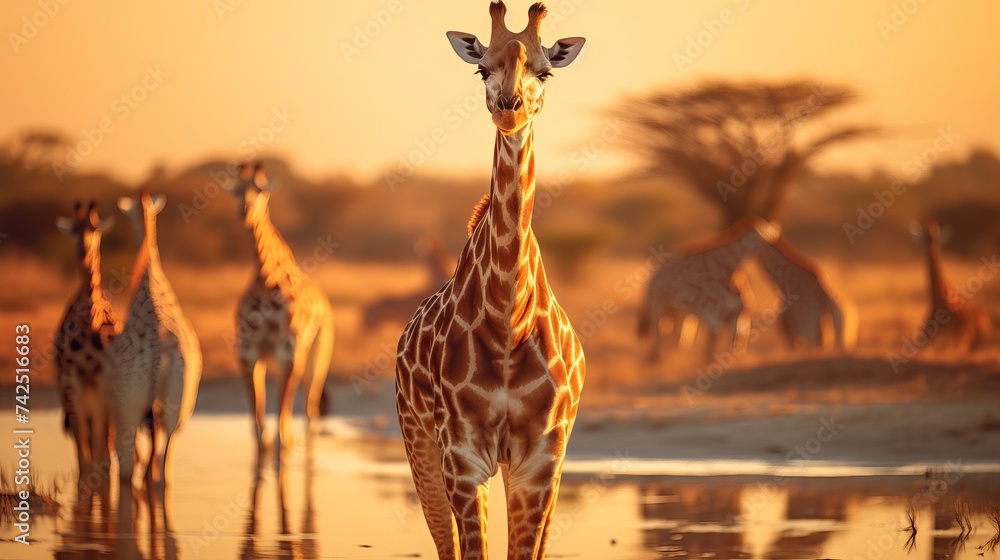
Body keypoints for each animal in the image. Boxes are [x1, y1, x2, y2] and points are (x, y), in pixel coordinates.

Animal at [228, 163, 335, 457]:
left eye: (262, 192)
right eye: (237, 191)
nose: (245, 213)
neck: (265, 282)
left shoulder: (289, 351)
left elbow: (280, 436)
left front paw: (286, 448)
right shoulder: (247, 352)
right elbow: (259, 430)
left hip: (318, 351)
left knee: (310, 410)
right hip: (274, 360)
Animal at [395, 2, 586, 557]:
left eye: (544, 71)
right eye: (482, 68)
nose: (510, 107)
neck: (509, 317)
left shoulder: (539, 461)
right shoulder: (462, 456)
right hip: (418, 444)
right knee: (444, 543)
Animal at [638, 217, 780, 362]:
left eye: (773, 237)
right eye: (765, 238)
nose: (776, 249)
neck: (729, 273)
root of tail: (655, 275)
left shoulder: (736, 317)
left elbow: (733, 345)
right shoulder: (712, 315)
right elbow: (710, 348)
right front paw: (707, 364)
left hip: (681, 314)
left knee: (678, 337)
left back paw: (674, 355)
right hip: (658, 308)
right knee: (657, 332)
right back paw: (656, 358)